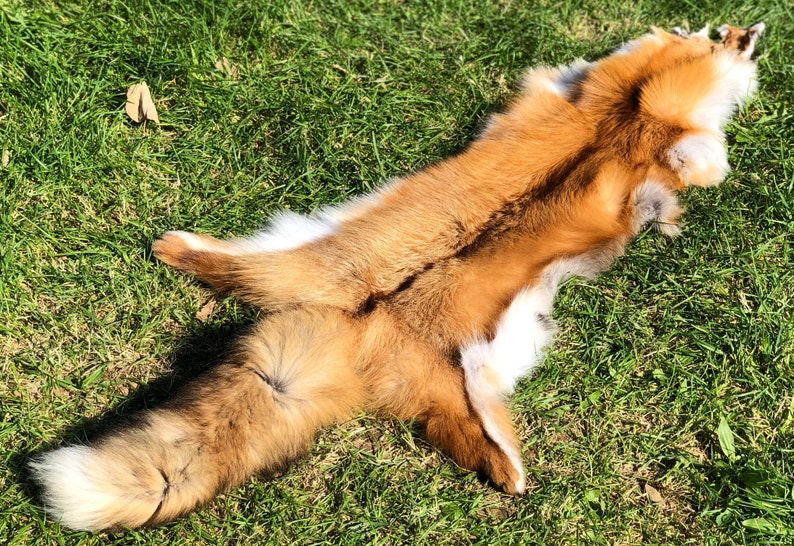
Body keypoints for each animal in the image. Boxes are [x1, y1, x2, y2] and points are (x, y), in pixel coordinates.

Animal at [29, 22, 764, 531]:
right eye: (726, 34)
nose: (753, 25)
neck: (632, 114)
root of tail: (365, 329)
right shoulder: (671, 140)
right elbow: (696, 169)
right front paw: (677, 212)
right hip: (472, 392)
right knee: (483, 446)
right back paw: (511, 475)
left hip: (301, 254)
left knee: (231, 267)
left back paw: (183, 250)